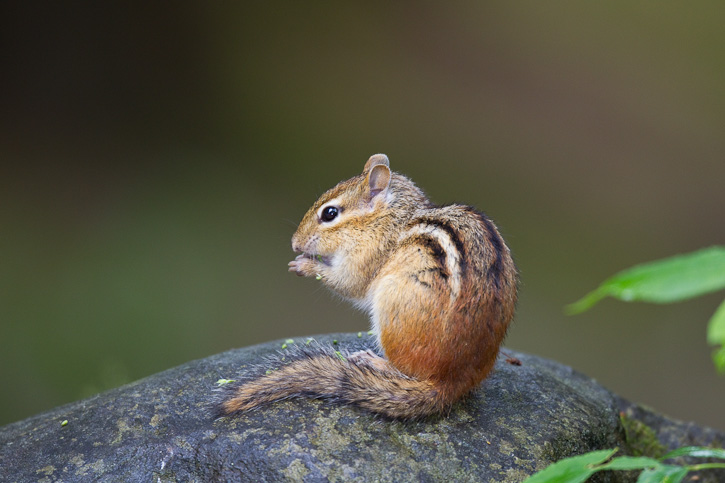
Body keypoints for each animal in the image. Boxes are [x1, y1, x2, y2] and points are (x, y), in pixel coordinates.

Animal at [218, 154, 518, 420]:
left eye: (330, 213)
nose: (295, 244)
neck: (388, 218)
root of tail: (450, 383)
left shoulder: (365, 258)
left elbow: (349, 283)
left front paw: (305, 266)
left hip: (391, 304)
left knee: (405, 370)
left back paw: (373, 361)